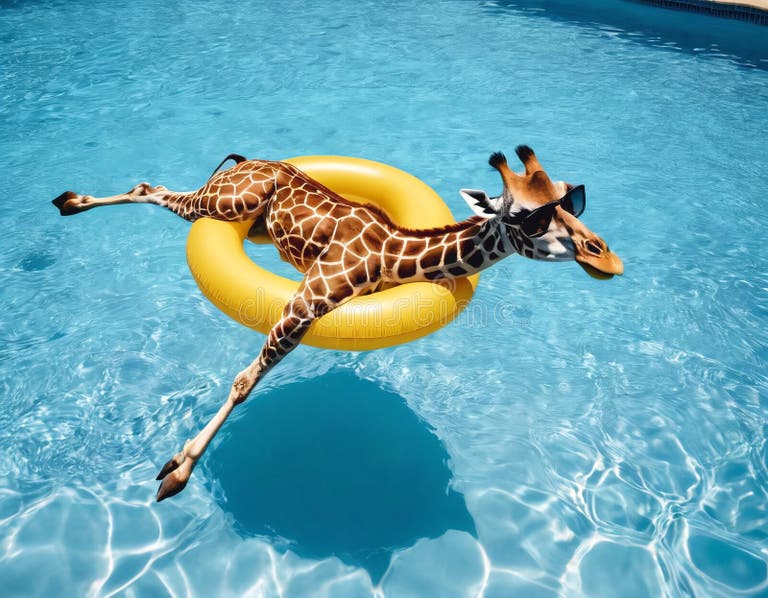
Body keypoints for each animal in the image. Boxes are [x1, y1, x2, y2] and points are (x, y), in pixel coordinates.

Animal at [52, 145, 623, 501]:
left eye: (573, 200)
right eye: (529, 215)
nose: (607, 257)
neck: (391, 254)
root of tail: (246, 161)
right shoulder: (310, 300)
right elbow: (243, 382)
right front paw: (177, 471)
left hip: (252, 224)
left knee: (155, 187)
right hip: (228, 202)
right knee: (152, 187)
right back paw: (70, 201)